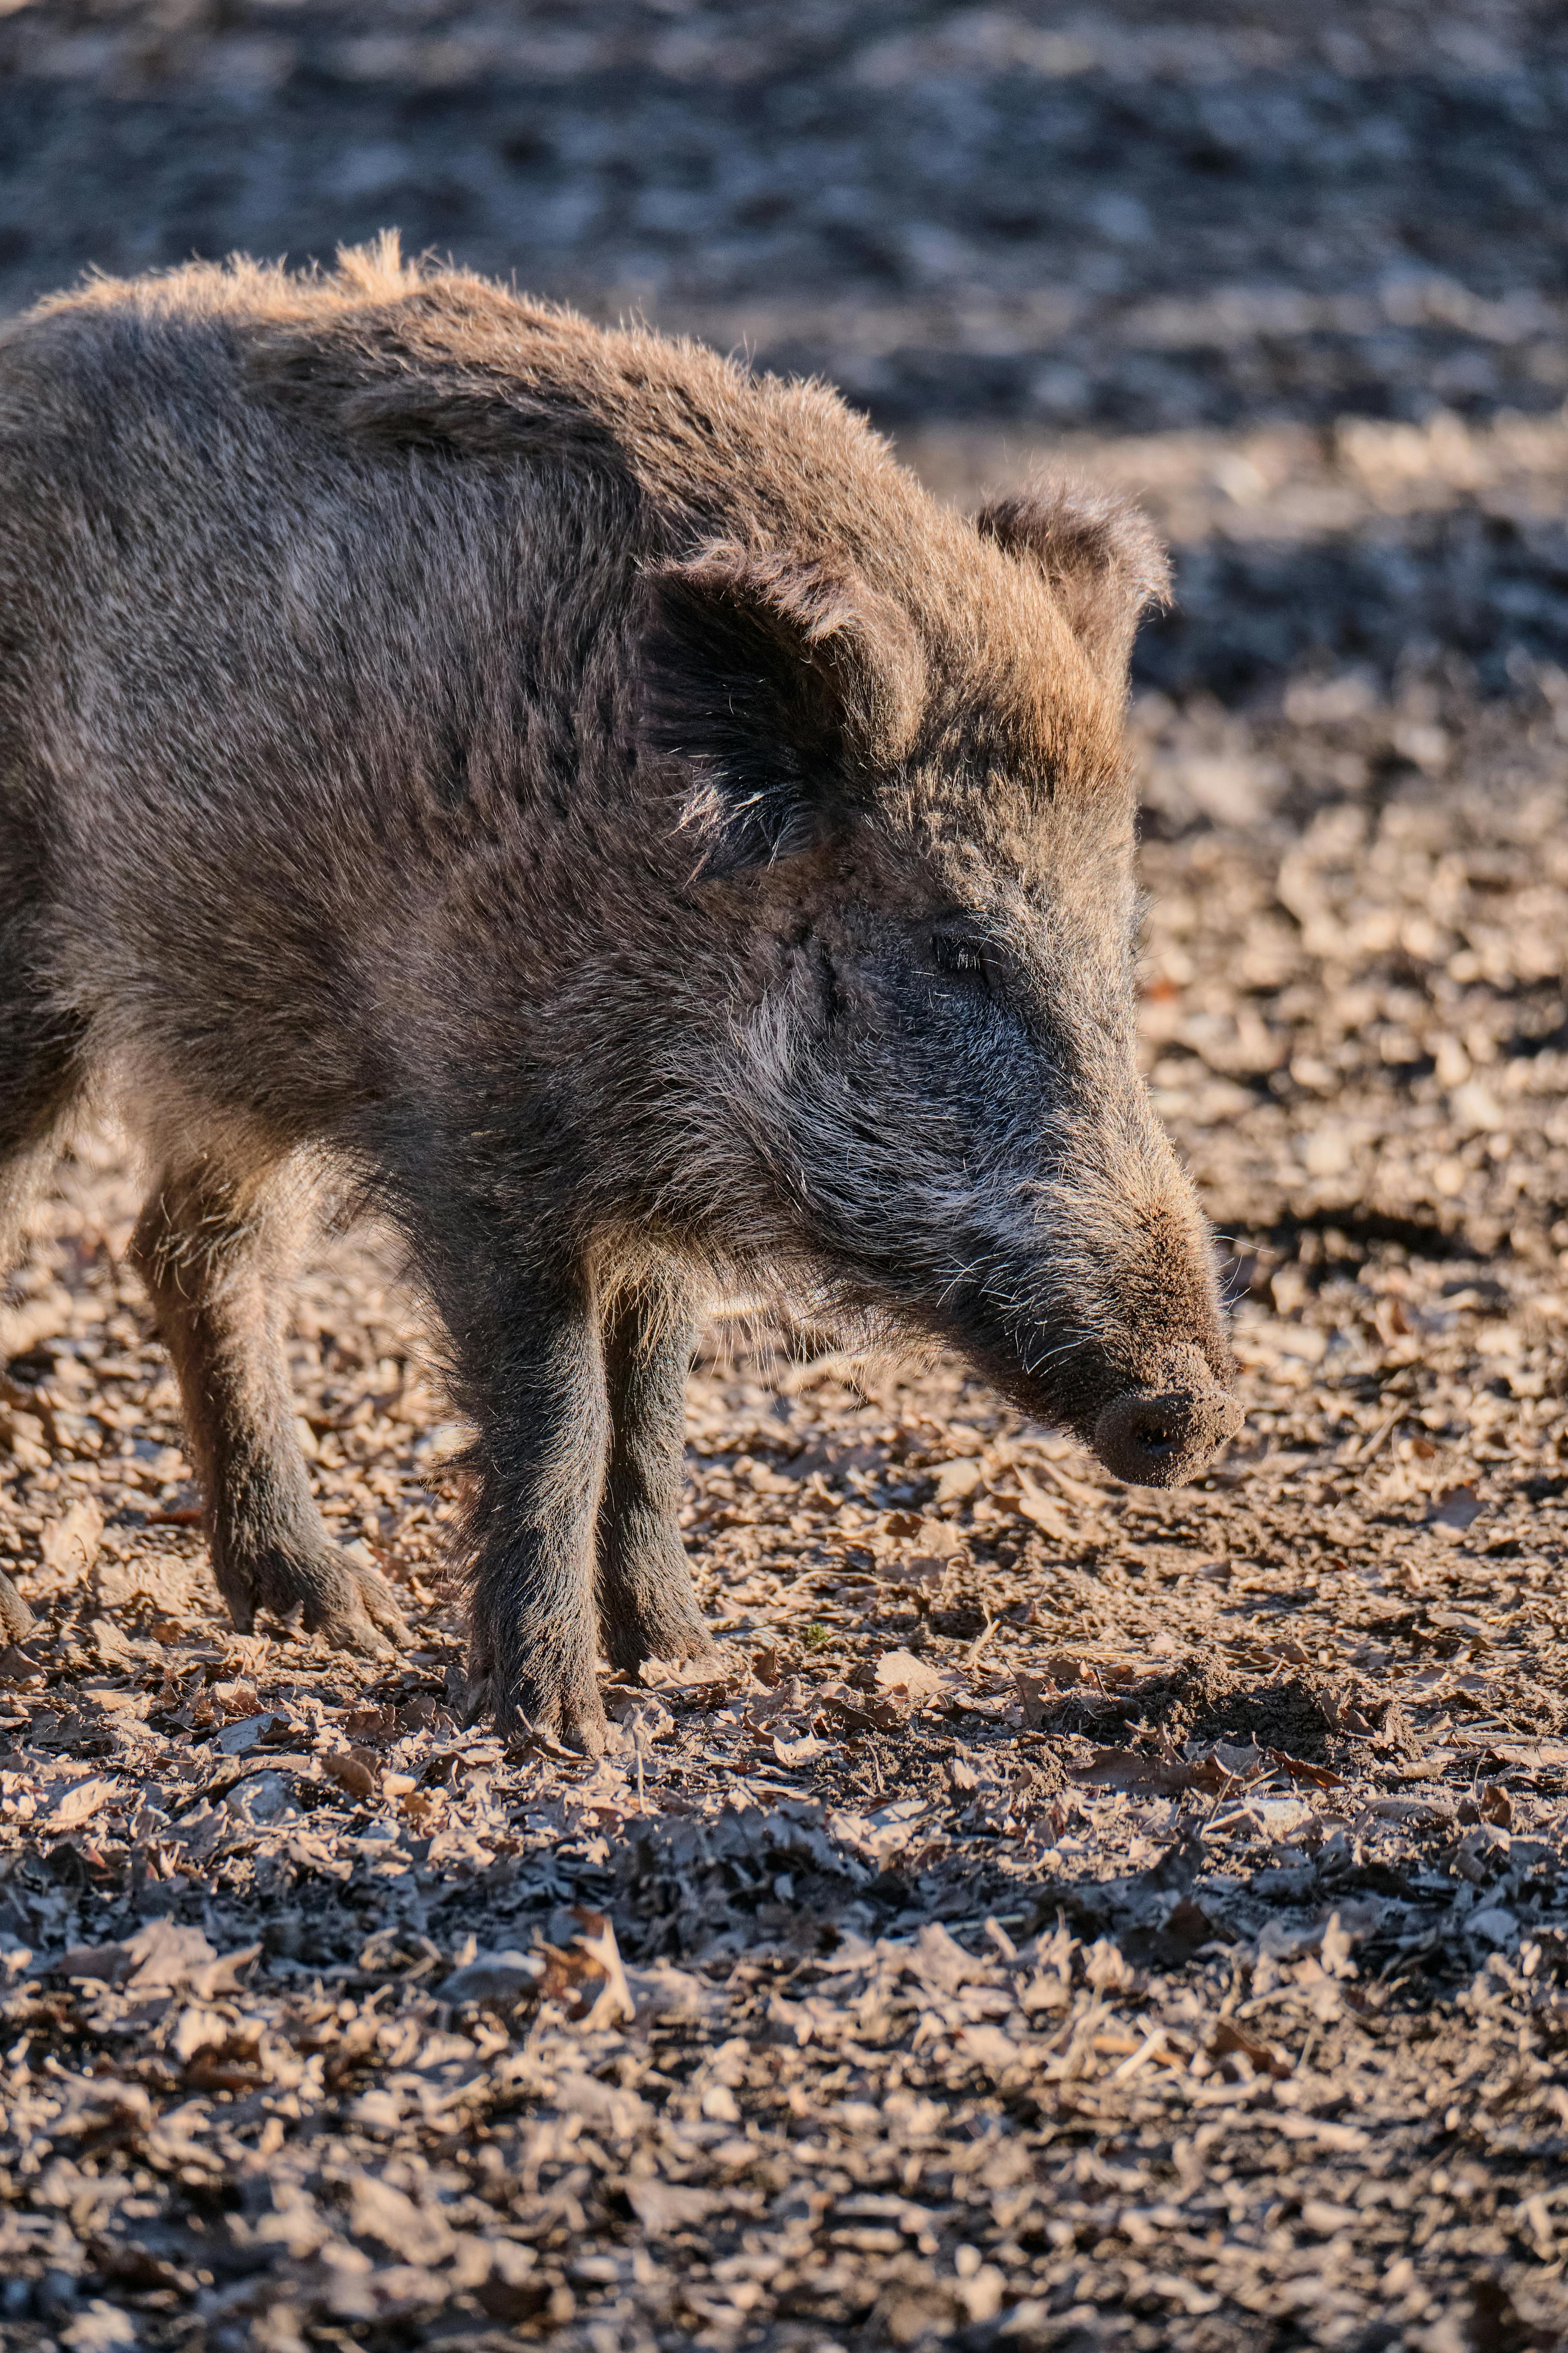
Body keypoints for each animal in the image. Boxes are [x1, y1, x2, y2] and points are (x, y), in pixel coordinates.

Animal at [0, 236, 1241, 1751]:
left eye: (1117, 951)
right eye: (957, 950)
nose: (1187, 1415)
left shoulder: (649, 1184)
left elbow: (653, 1401)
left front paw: (683, 1657)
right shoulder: (474, 1123)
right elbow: (561, 1411)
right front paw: (550, 1722)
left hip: (240, 1029)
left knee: (189, 1248)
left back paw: (334, 1614)